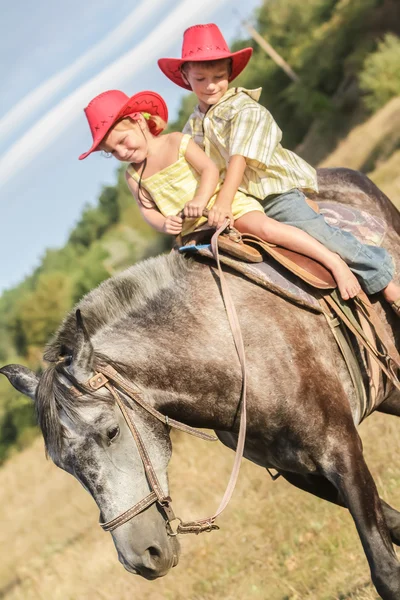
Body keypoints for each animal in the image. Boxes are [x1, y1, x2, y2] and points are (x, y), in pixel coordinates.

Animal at [2, 168, 400, 596]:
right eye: (64, 466)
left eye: (111, 432)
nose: (141, 557)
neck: (238, 354)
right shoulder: (304, 474)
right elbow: (395, 525)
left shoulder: (342, 452)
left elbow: (386, 571)